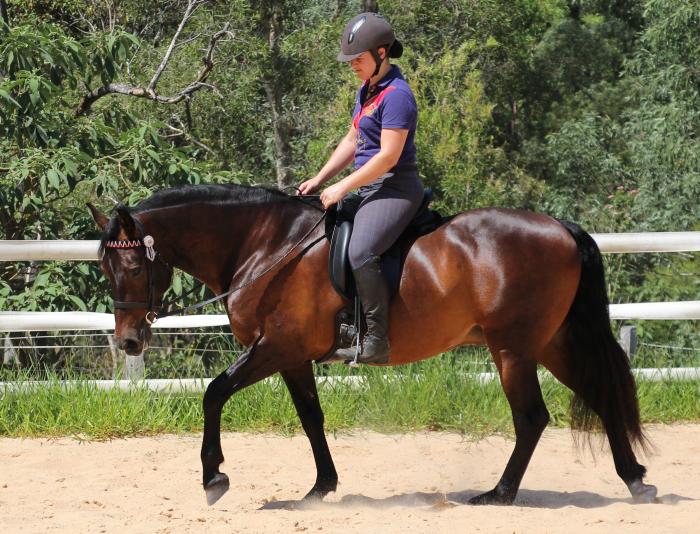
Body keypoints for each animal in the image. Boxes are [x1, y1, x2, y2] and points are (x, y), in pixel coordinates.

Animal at [87, 184, 656, 506]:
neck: (268, 246)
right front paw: (321, 488)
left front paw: (213, 477)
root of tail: (560, 228)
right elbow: (310, 418)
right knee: (600, 397)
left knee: (533, 417)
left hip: (513, 350)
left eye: (133, 265)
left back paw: (500, 494)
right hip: (550, 342)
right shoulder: (293, 357)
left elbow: (213, 393)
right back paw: (634, 480)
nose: (130, 341)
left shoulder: (276, 347)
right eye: (104, 267)